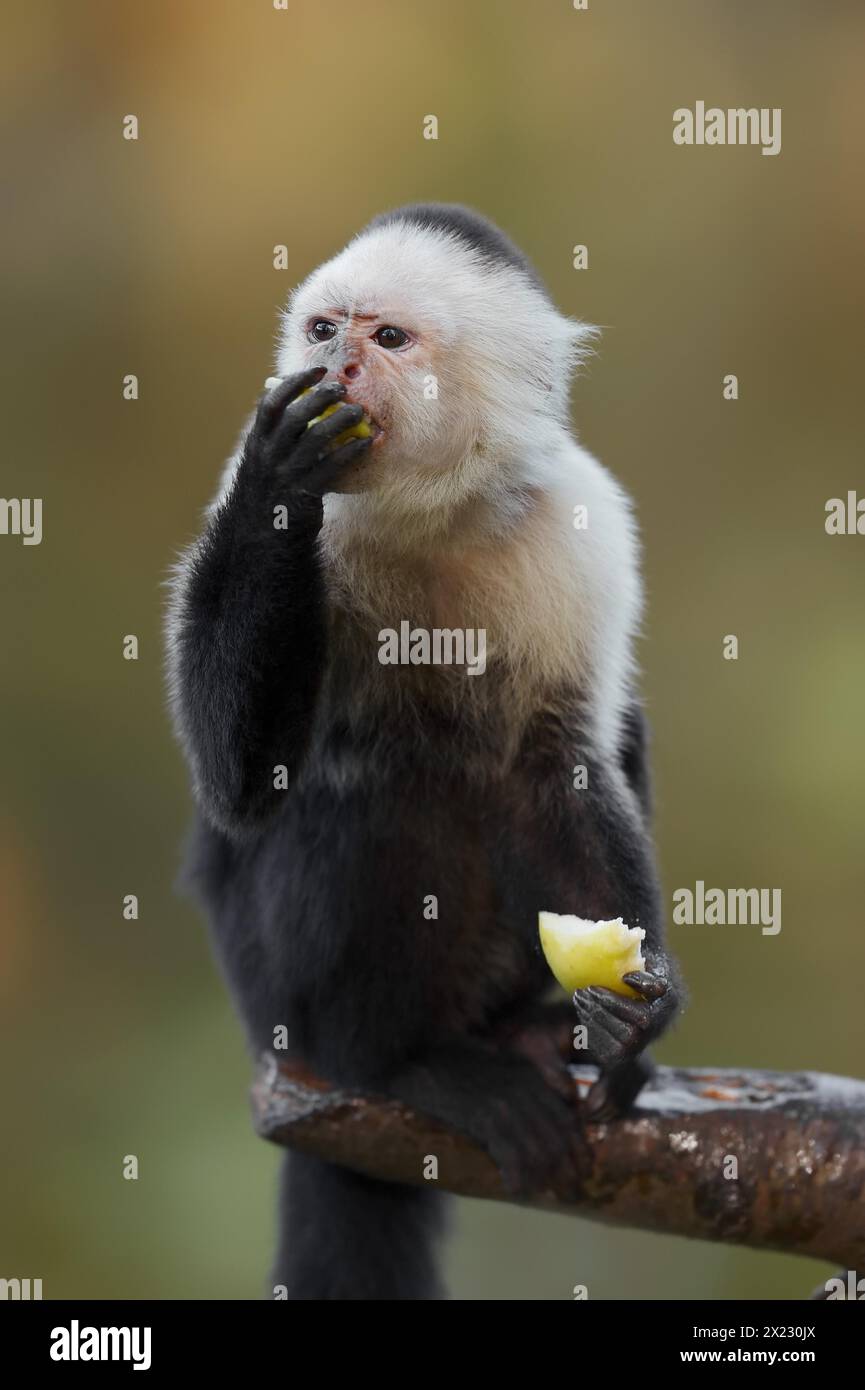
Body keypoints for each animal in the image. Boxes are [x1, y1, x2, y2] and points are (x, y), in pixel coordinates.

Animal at [166, 203, 684, 1301]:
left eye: (389, 338)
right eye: (324, 331)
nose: (337, 367)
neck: (425, 511)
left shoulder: (581, 523)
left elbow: (560, 761)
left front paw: (631, 1014)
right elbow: (242, 786)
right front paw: (283, 472)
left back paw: (525, 1032)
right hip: (274, 1005)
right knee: (370, 793)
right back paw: (402, 1065)